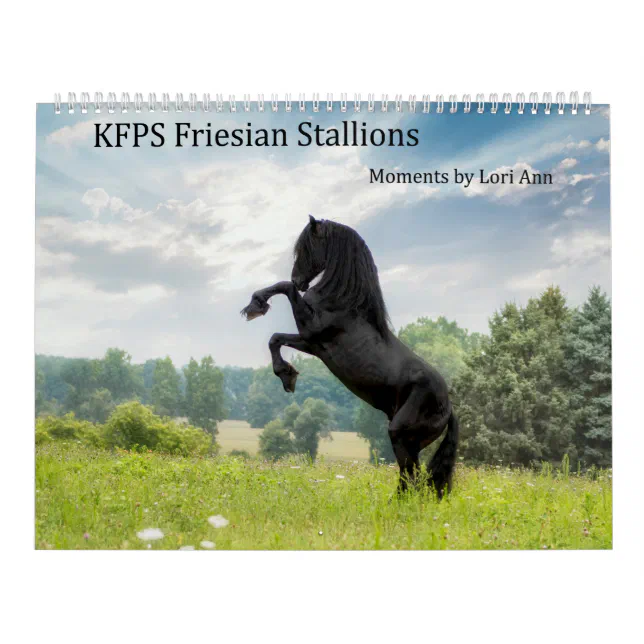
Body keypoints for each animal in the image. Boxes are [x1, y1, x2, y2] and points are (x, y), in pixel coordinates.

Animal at [241, 215, 459, 497]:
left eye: (306, 247)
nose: (299, 279)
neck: (342, 303)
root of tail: (448, 408)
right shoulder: (312, 344)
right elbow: (275, 338)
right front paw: (287, 375)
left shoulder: (312, 330)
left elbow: (285, 289)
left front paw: (257, 305)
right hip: (412, 444)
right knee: (412, 479)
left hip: (402, 436)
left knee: (411, 479)